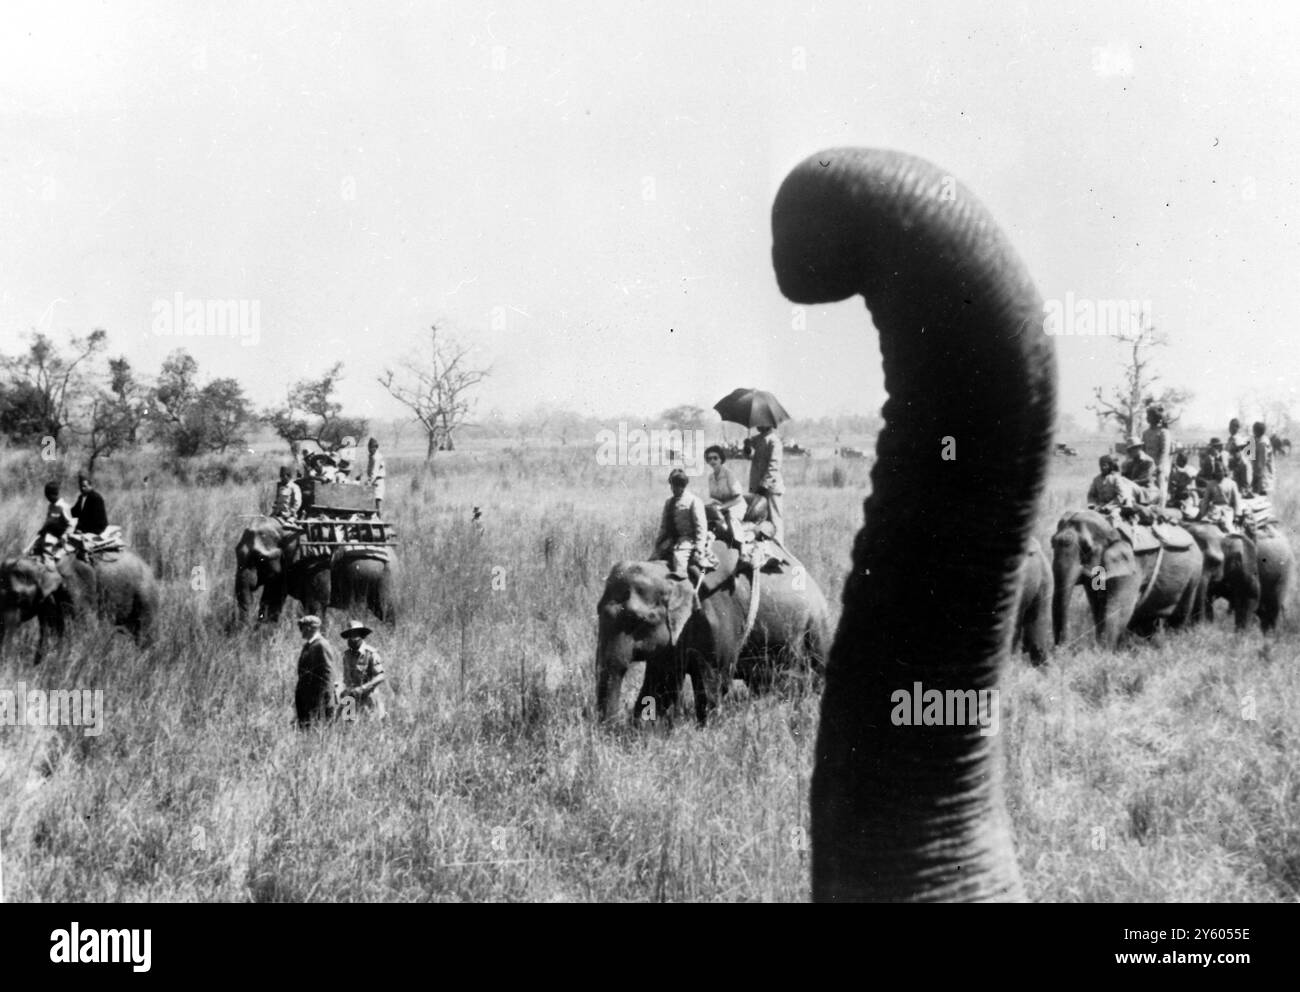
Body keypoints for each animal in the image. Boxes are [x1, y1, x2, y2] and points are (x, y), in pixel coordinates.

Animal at [0, 551, 159, 664]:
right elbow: (50, 632)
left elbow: (84, 629)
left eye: (17, 596)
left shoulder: (79, 583)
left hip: (145, 596)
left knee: (144, 635)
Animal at [234, 516, 396, 626]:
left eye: (260, 558)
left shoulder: (318, 563)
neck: (287, 528)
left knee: (386, 609)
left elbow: (315, 605)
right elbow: (271, 601)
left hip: (388, 574)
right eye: (235, 552)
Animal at [595, 543, 830, 726]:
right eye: (598, 612)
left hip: (817, 625)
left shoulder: (719, 619)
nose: (610, 731)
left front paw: (706, 731)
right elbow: (661, 684)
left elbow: (712, 682)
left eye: (640, 620)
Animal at [1051, 510, 1203, 648]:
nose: (1061, 649)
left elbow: (1119, 609)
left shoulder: (1133, 566)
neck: (1111, 529)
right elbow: (1098, 607)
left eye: (1087, 549)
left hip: (1194, 573)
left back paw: (1173, 641)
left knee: (1181, 612)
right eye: (1052, 543)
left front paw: (1102, 653)